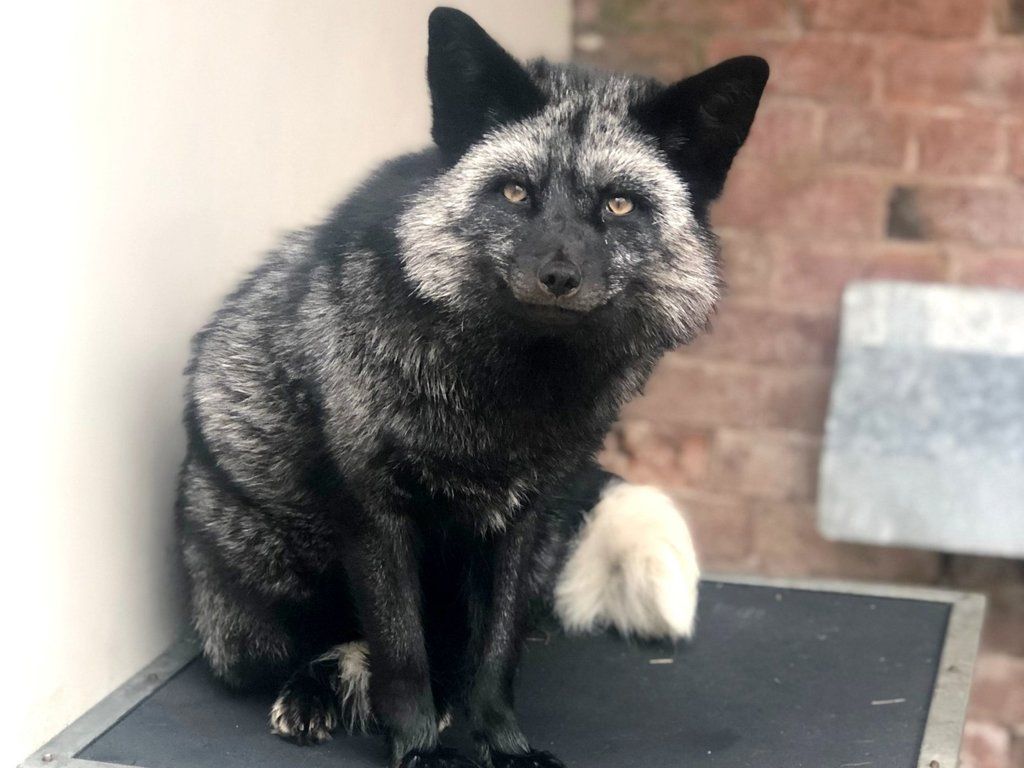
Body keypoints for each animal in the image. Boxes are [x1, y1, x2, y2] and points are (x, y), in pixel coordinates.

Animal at [177, 7, 767, 768]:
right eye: (515, 193)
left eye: (618, 205)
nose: (558, 277)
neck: (507, 398)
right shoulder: (375, 514)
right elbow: (400, 655)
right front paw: (419, 750)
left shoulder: (523, 515)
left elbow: (496, 652)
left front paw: (503, 744)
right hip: (256, 598)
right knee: (337, 644)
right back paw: (315, 689)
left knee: (452, 649)